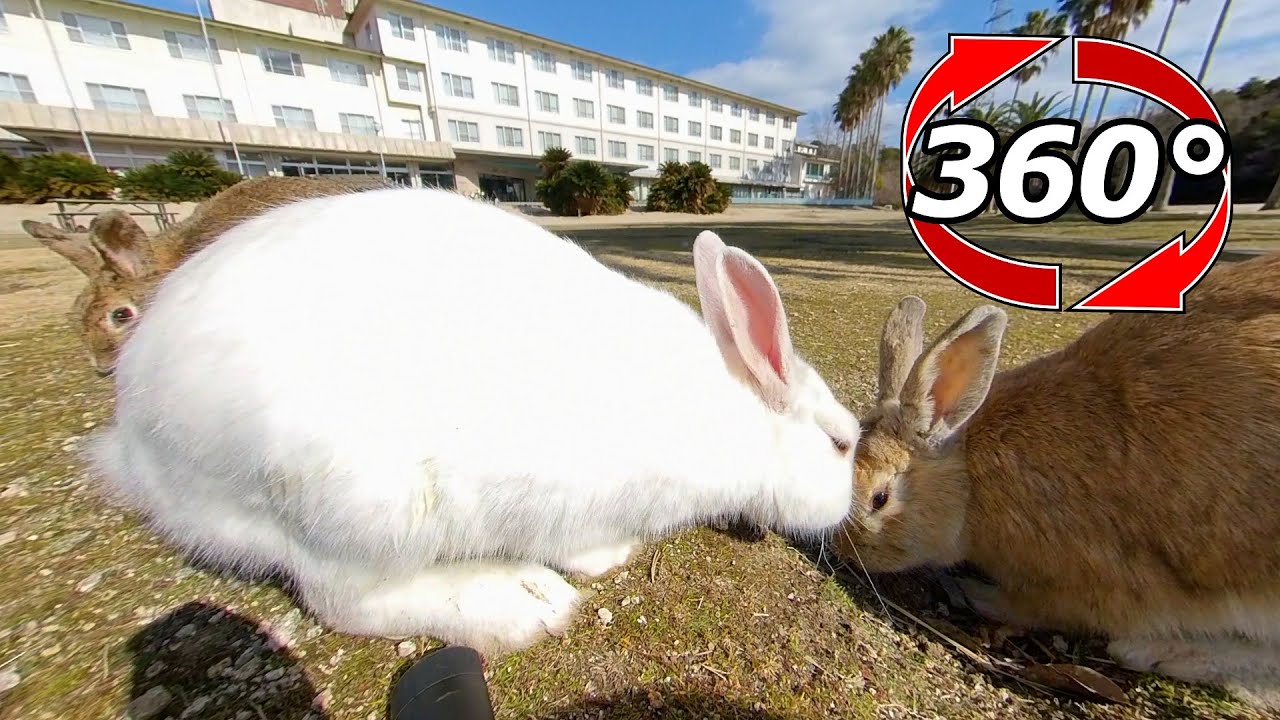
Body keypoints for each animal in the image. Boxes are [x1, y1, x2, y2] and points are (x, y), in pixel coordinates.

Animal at [83, 186, 860, 655]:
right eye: (841, 443)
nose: (846, 512)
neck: (738, 422)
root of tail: (142, 450)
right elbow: (583, 544)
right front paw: (606, 560)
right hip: (361, 507)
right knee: (344, 600)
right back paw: (524, 601)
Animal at [831, 250, 1280, 708]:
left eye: (880, 498)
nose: (844, 551)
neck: (974, 483)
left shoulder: (1085, 584)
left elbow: (1032, 606)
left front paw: (973, 592)